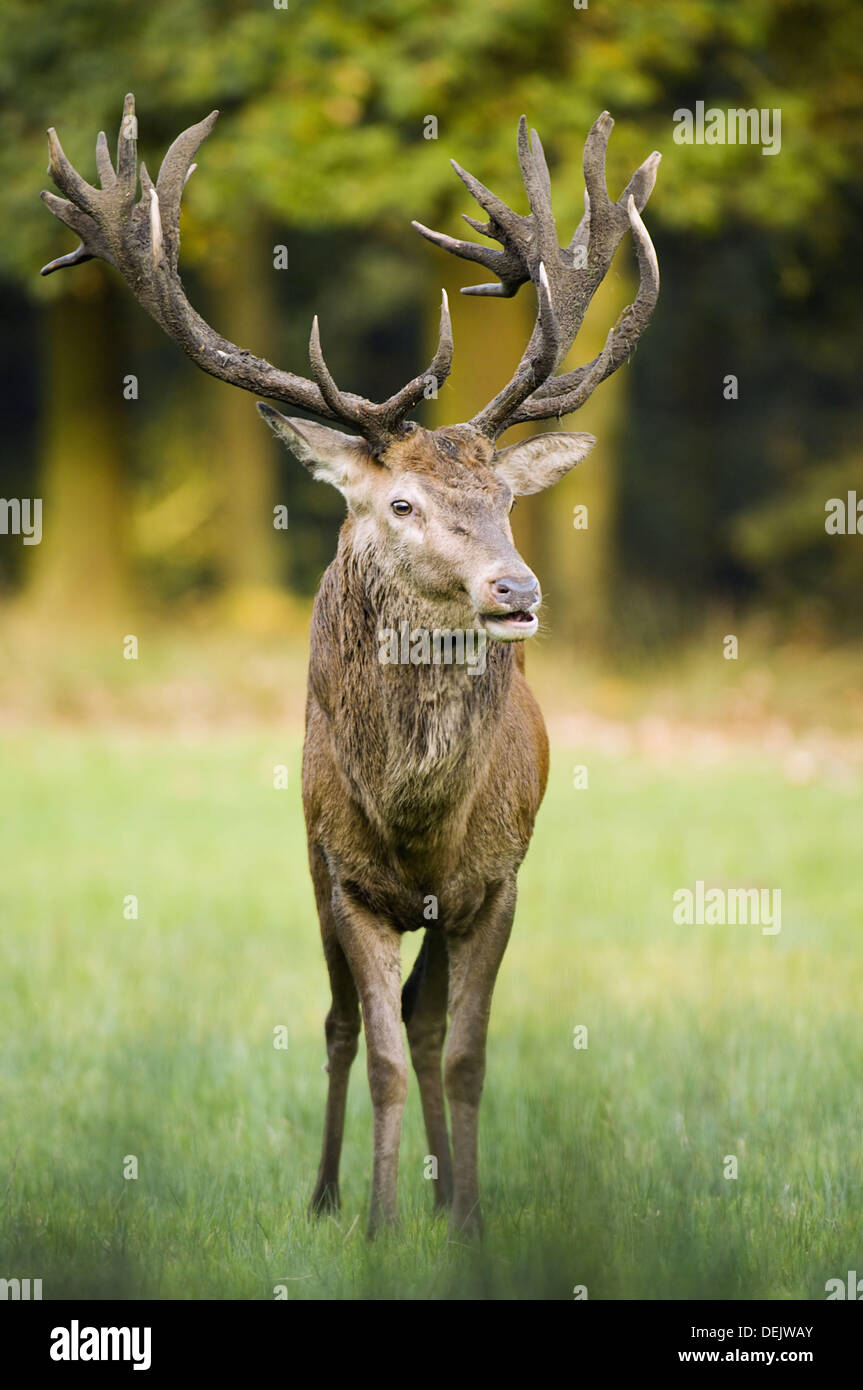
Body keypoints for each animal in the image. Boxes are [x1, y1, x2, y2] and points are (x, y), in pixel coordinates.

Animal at [40, 95, 660, 1235]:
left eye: (505, 500)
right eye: (400, 503)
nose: (518, 589)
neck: (417, 825)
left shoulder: (497, 879)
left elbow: (458, 1053)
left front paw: (465, 1220)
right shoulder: (347, 876)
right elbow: (374, 1053)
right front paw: (375, 1224)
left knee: (422, 1020)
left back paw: (440, 1193)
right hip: (306, 851)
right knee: (336, 1022)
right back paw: (330, 1195)